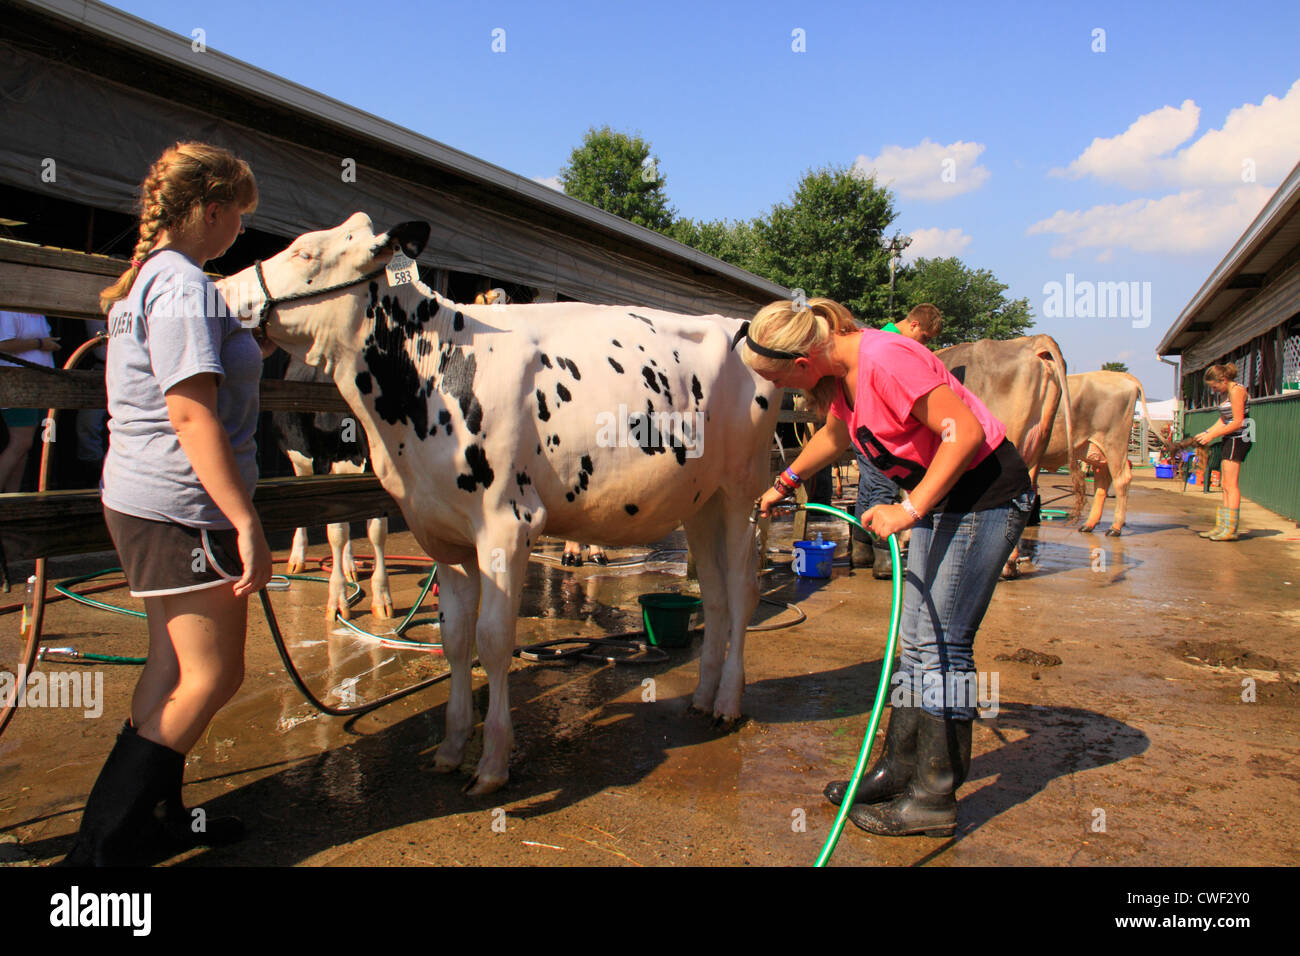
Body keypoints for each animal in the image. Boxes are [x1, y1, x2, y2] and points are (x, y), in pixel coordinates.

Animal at [273, 357, 392, 621]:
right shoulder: (325, 463)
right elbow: (336, 532)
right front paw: (338, 600)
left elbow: (377, 531)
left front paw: (381, 597)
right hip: (300, 461)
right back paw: (297, 558)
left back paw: (349, 566)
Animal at [1037, 370, 1155, 536]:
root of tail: (1121, 375)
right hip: (1096, 451)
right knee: (1102, 481)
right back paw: (1090, 524)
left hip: (1114, 444)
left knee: (1122, 479)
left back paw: (1115, 527)